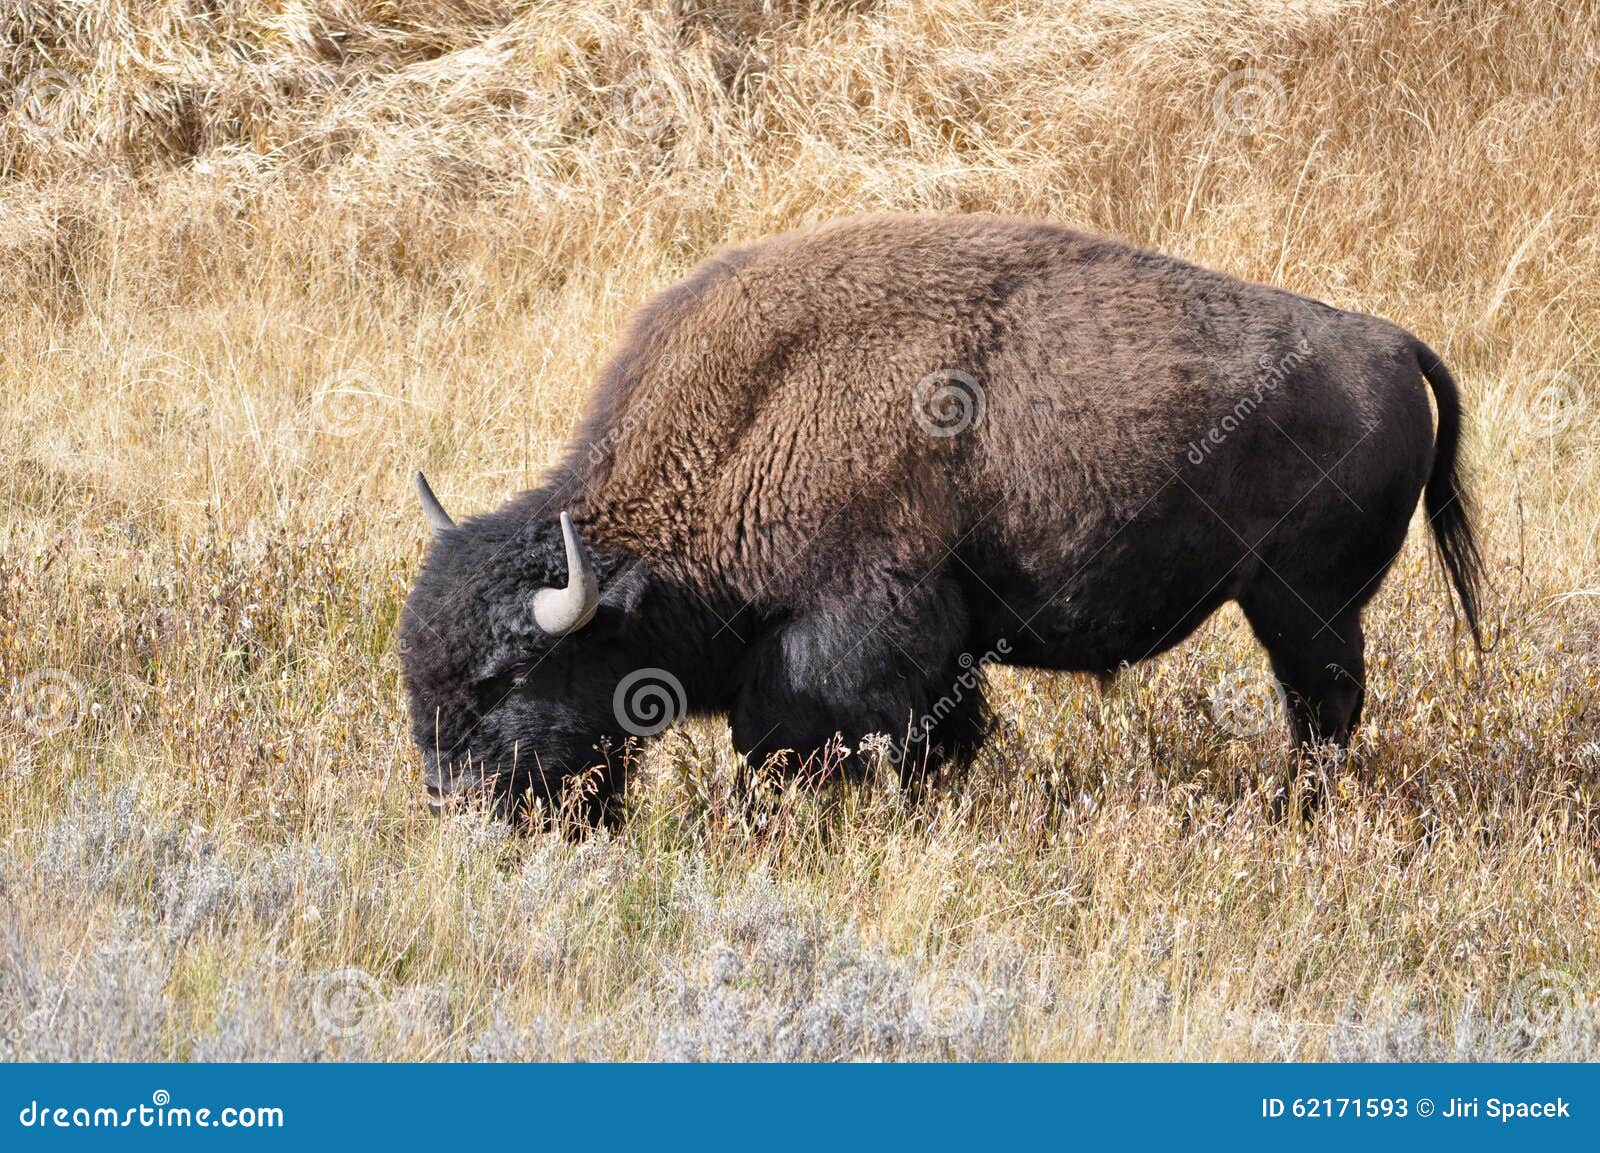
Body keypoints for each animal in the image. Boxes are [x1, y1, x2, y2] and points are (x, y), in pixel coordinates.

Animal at [399, 213, 1483, 821]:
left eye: (507, 678)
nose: (454, 801)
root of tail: (1388, 343)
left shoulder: (848, 636)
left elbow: (785, 744)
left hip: (1303, 606)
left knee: (1324, 710)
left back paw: (1293, 814)